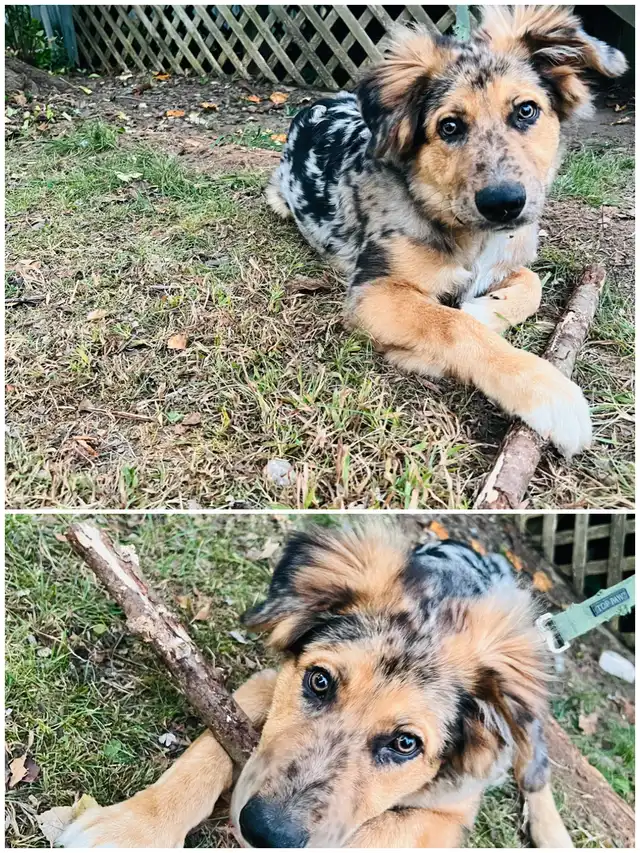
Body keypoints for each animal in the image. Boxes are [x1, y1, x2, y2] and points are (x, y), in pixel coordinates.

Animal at [61, 523, 572, 848]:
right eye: (320, 681)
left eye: (406, 744)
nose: (265, 833)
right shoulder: (269, 682)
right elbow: (204, 753)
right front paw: (134, 828)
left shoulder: (451, 812)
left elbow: (382, 833)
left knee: (536, 766)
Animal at [266, 6, 627, 458]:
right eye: (450, 126)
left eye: (526, 111)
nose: (504, 203)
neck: (469, 234)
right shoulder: (374, 291)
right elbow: (453, 324)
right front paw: (546, 390)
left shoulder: (511, 254)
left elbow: (531, 282)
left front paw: (487, 309)